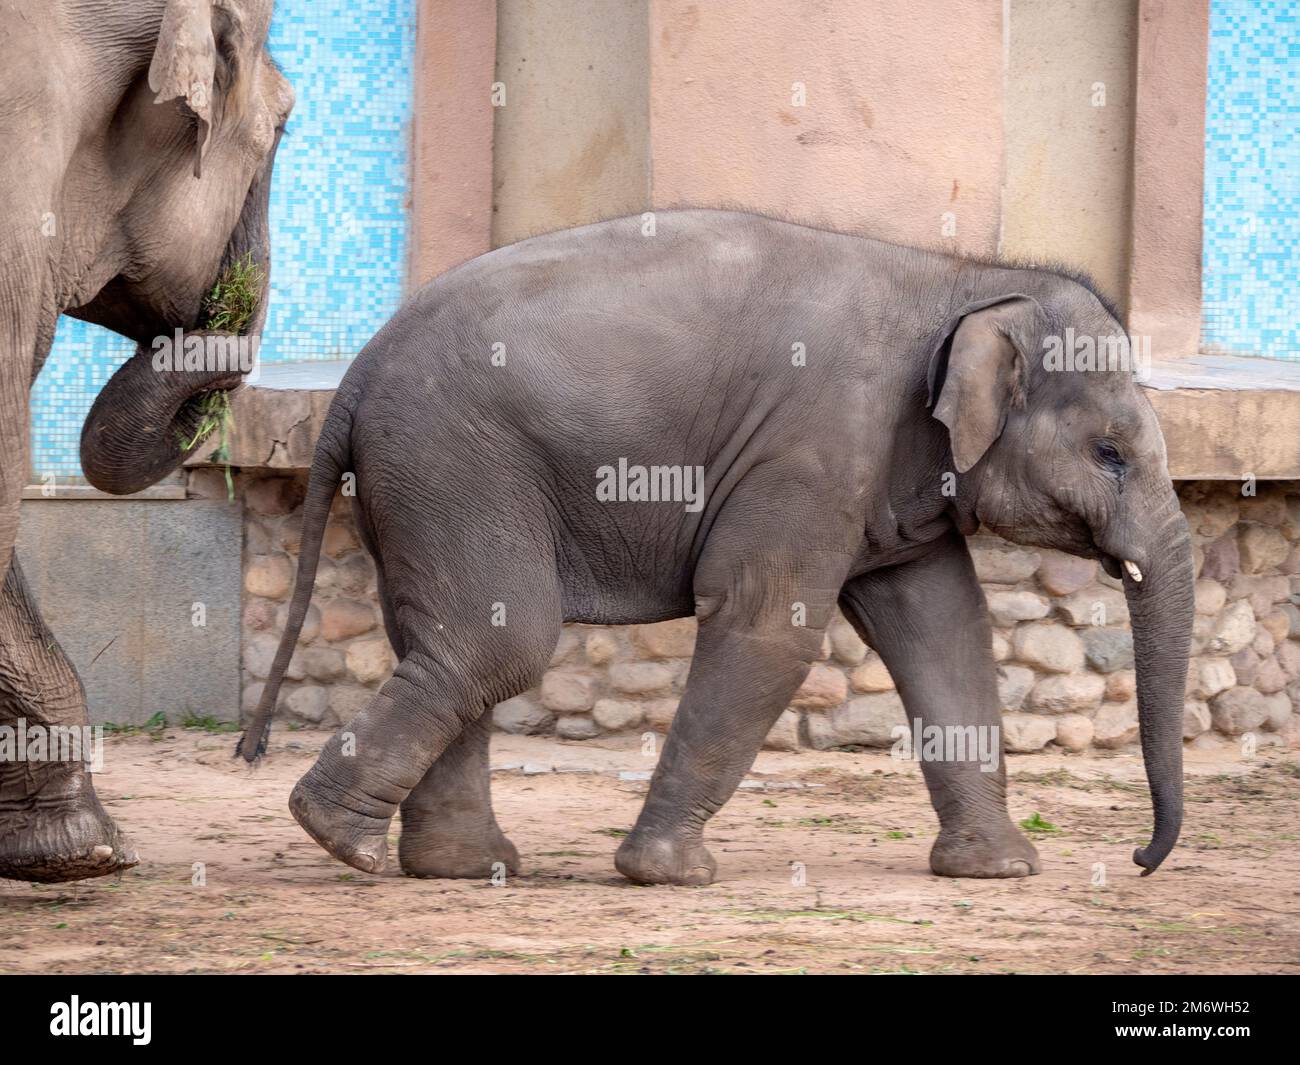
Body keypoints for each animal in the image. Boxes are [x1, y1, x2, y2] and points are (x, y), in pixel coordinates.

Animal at [241, 208, 1193, 887]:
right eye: (1110, 454)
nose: (1141, 860)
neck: (963, 279)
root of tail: (355, 374)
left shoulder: (889, 476)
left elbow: (943, 629)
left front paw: (999, 870)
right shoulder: (812, 452)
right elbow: (771, 625)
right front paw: (668, 876)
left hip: (421, 483)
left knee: (446, 639)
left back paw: (457, 867)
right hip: (455, 462)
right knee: (499, 640)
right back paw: (341, 841)